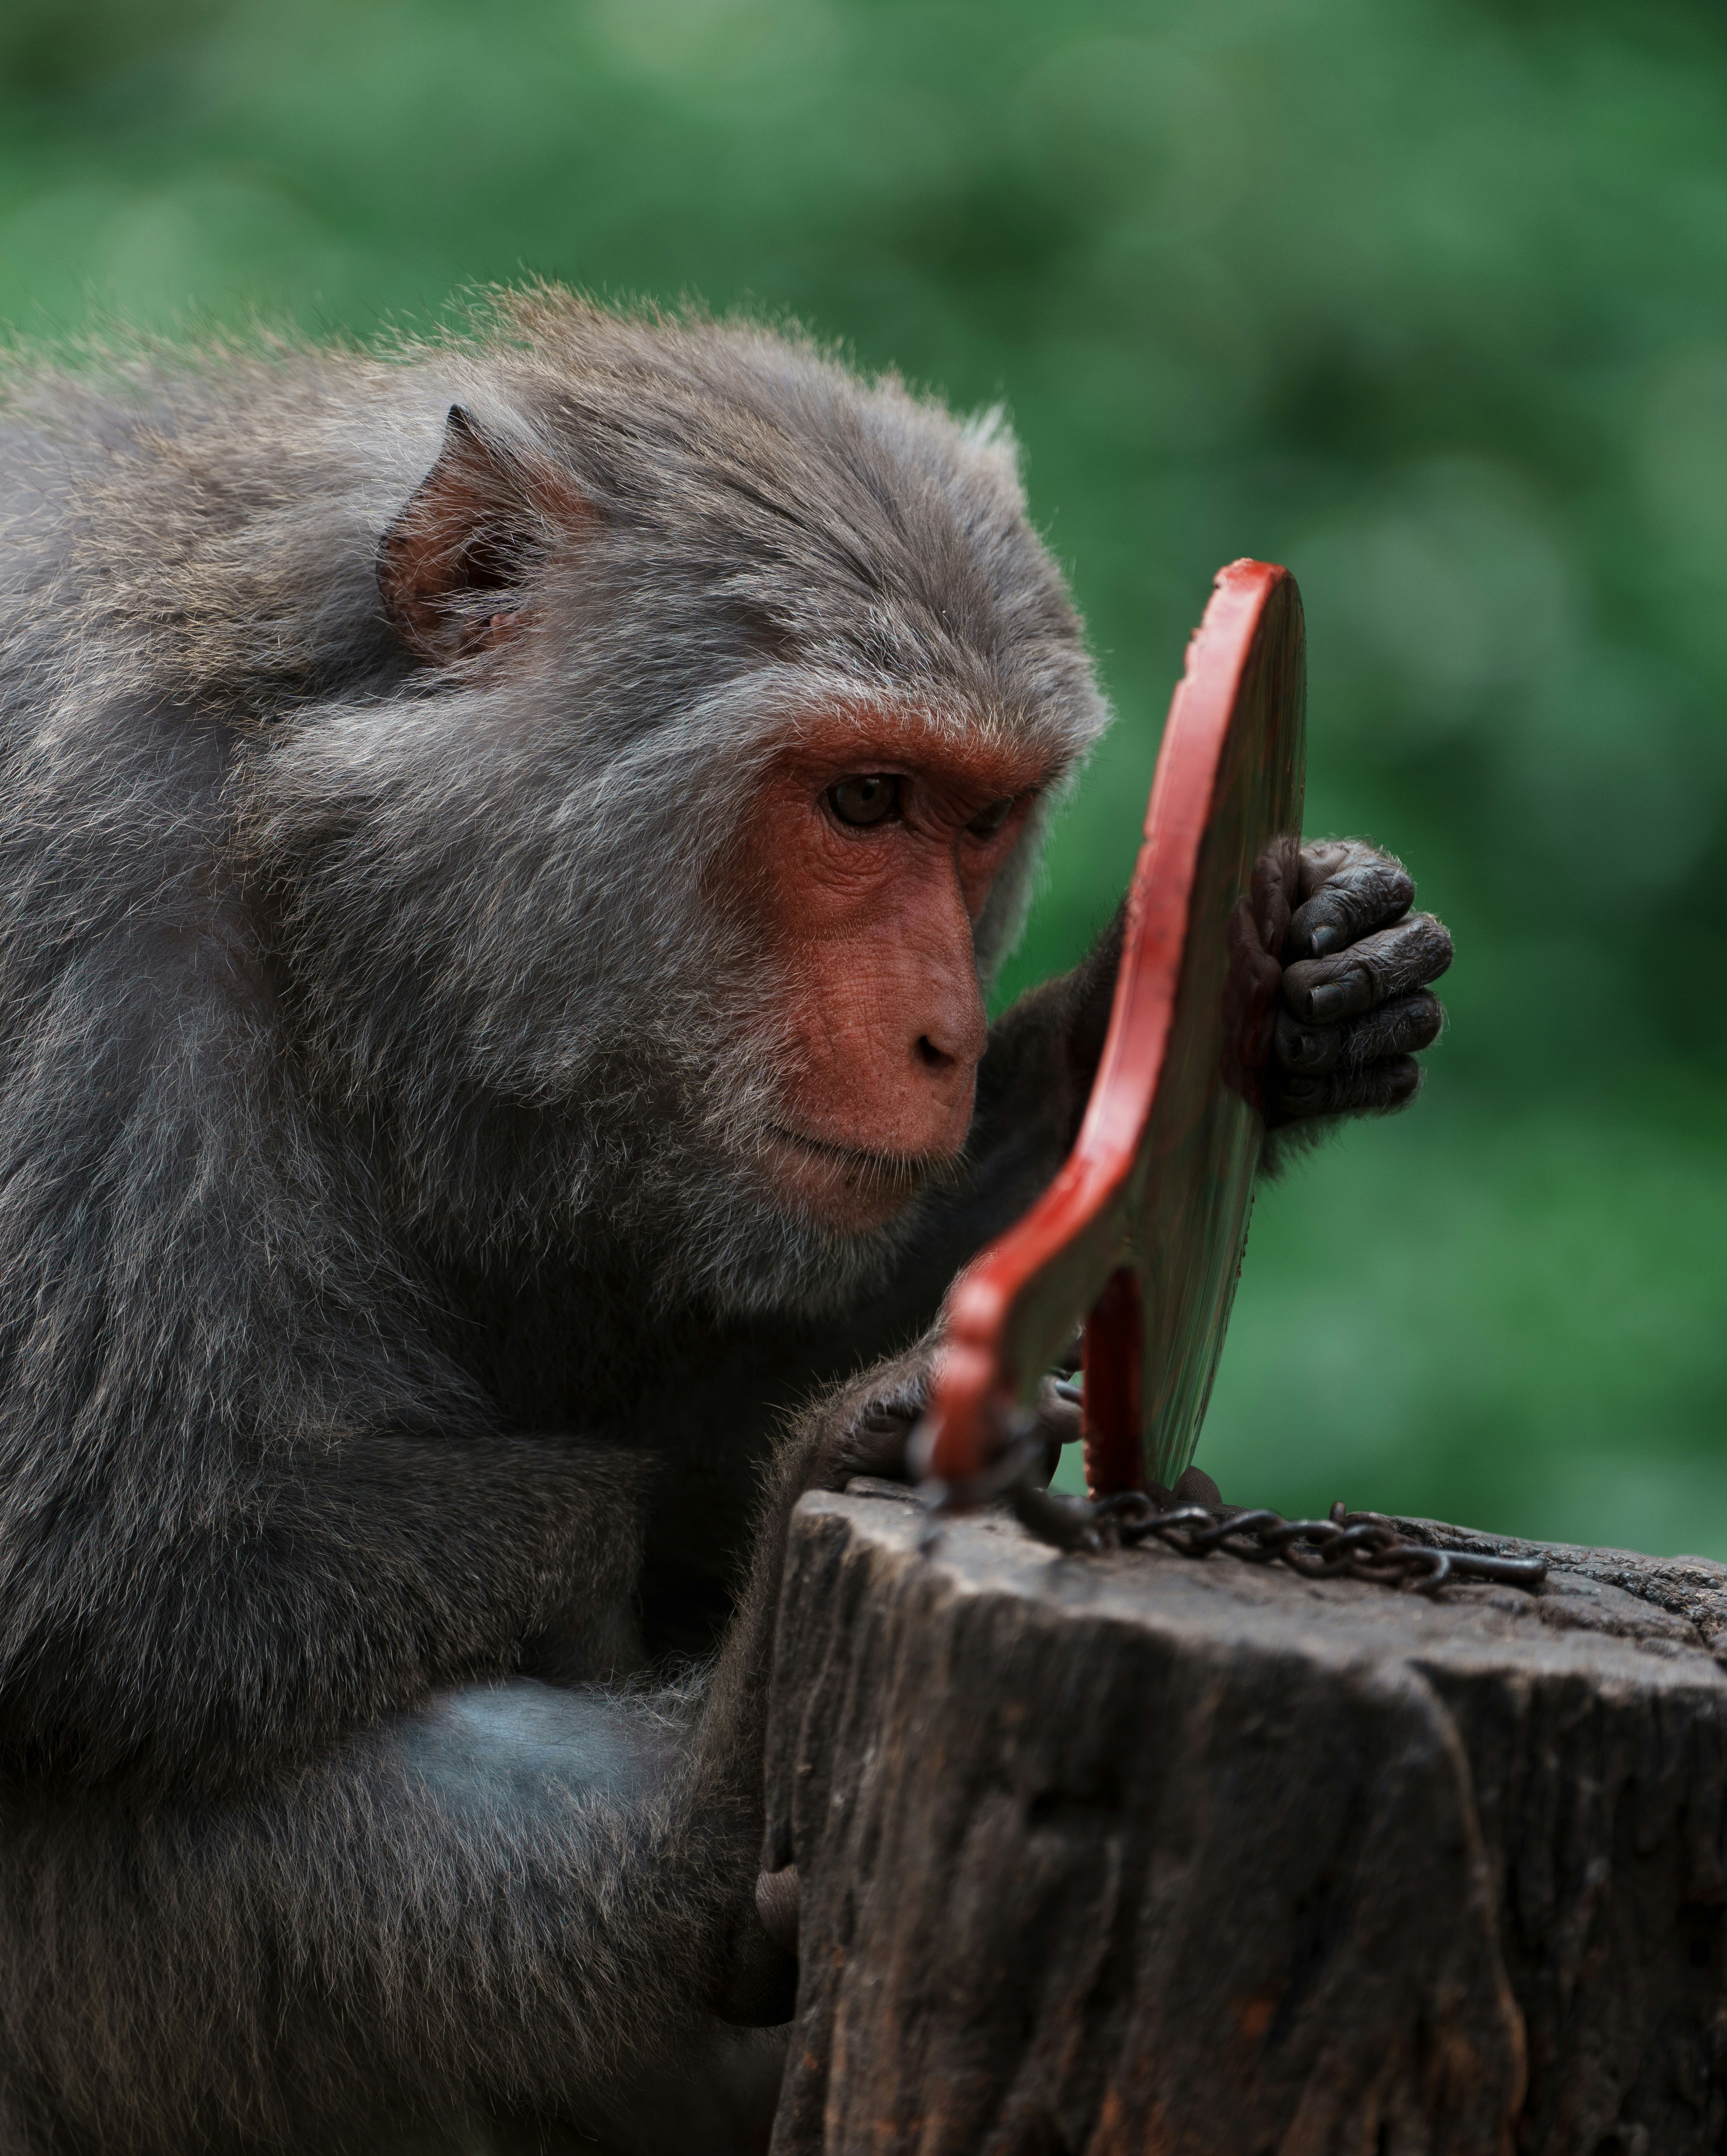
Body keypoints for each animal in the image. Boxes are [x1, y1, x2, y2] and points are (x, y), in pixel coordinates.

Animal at [0, 292, 1451, 2155]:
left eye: (976, 815)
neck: (288, 813)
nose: (941, 1037)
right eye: (861, 800)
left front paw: (1269, 988)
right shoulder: (91, 917)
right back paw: (705, 1821)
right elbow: (118, 1565)